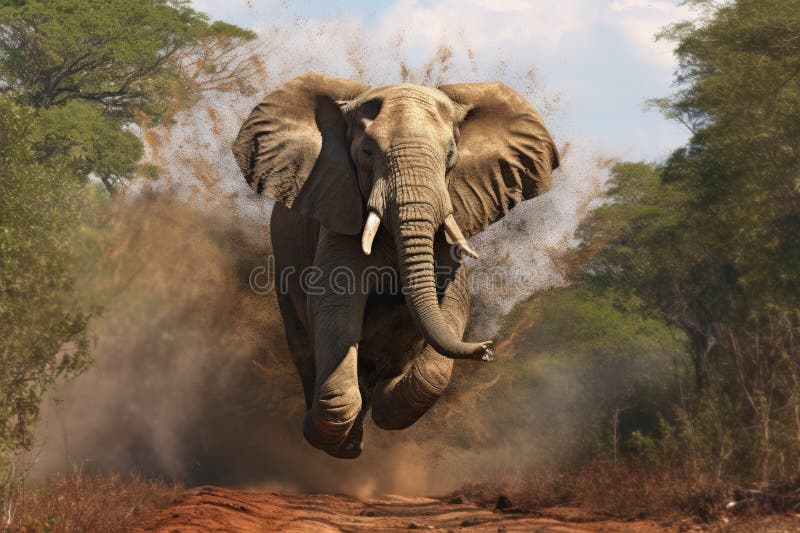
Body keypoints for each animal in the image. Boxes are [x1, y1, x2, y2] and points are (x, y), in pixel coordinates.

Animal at [233, 72, 559, 459]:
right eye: (366, 153)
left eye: (451, 155)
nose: (487, 350)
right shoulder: (339, 207)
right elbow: (334, 302)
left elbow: (455, 300)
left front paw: (390, 398)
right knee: (302, 339)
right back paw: (336, 439)